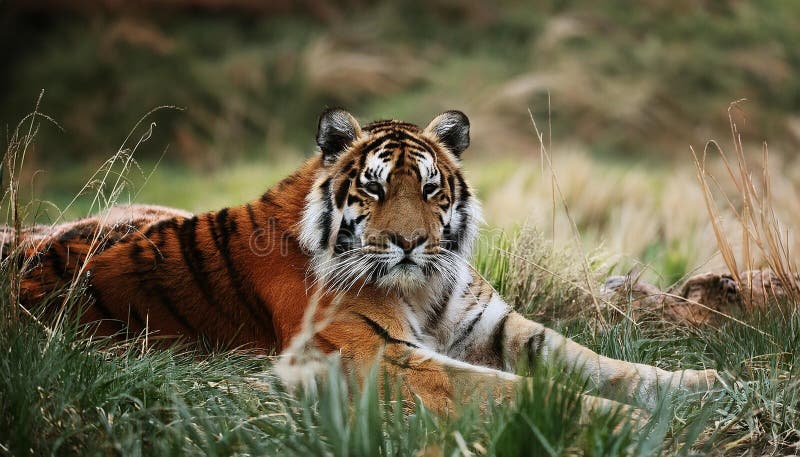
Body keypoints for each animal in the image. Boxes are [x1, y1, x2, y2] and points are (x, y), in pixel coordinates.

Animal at [4, 108, 717, 417]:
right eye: (373, 189)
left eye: (429, 189)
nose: (408, 243)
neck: (423, 287)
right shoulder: (377, 356)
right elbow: (508, 387)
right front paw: (628, 423)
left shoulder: (488, 324)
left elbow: (589, 361)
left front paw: (701, 384)